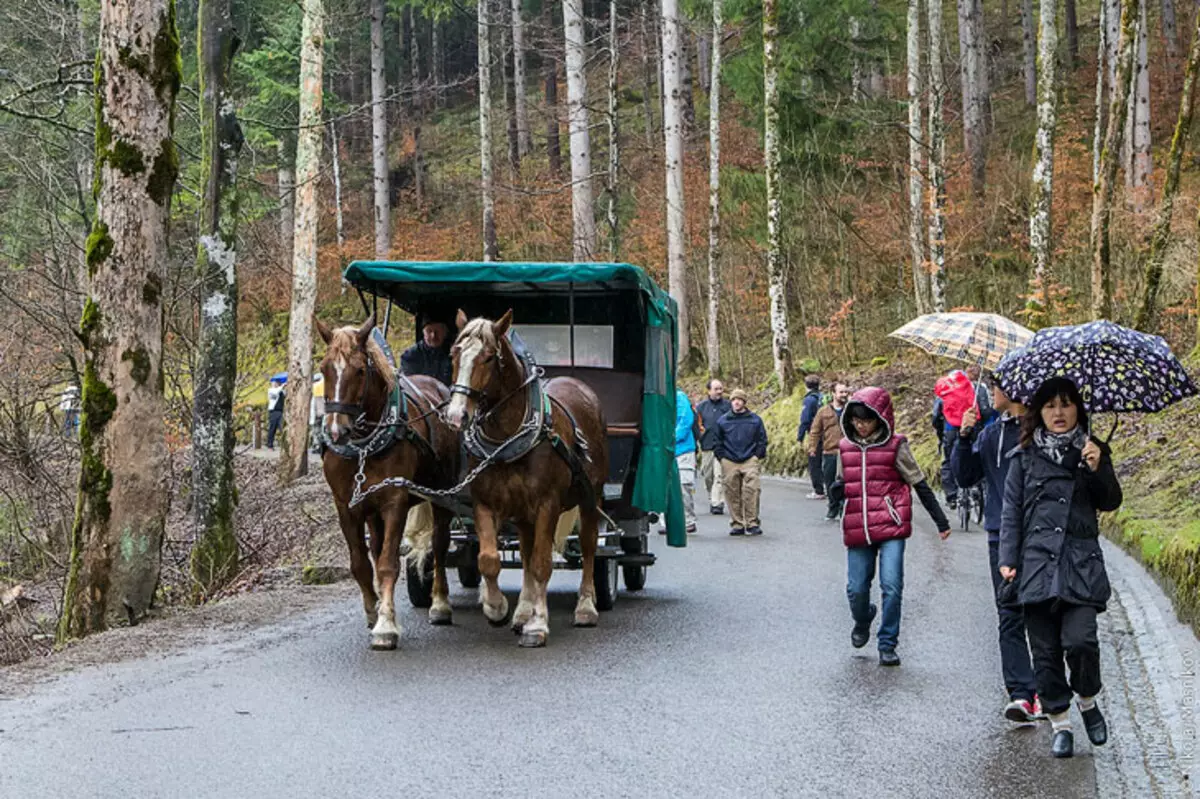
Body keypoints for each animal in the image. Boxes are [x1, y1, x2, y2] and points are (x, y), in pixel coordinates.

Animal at [316, 316, 456, 647]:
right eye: (324, 368)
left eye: (359, 370)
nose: (336, 430)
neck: (363, 446)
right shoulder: (347, 506)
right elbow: (361, 564)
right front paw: (374, 610)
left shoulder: (395, 502)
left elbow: (388, 563)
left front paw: (386, 625)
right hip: (372, 509)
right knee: (378, 546)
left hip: (442, 494)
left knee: (440, 545)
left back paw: (440, 603)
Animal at [446, 307, 609, 643]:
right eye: (455, 352)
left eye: (488, 358)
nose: (456, 416)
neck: (509, 438)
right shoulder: (484, 504)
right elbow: (490, 559)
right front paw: (497, 608)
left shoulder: (548, 504)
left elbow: (542, 563)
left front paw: (538, 623)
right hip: (523, 512)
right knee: (524, 549)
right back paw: (522, 609)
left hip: (591, 496)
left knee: (588, 546)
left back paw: (585, 606)